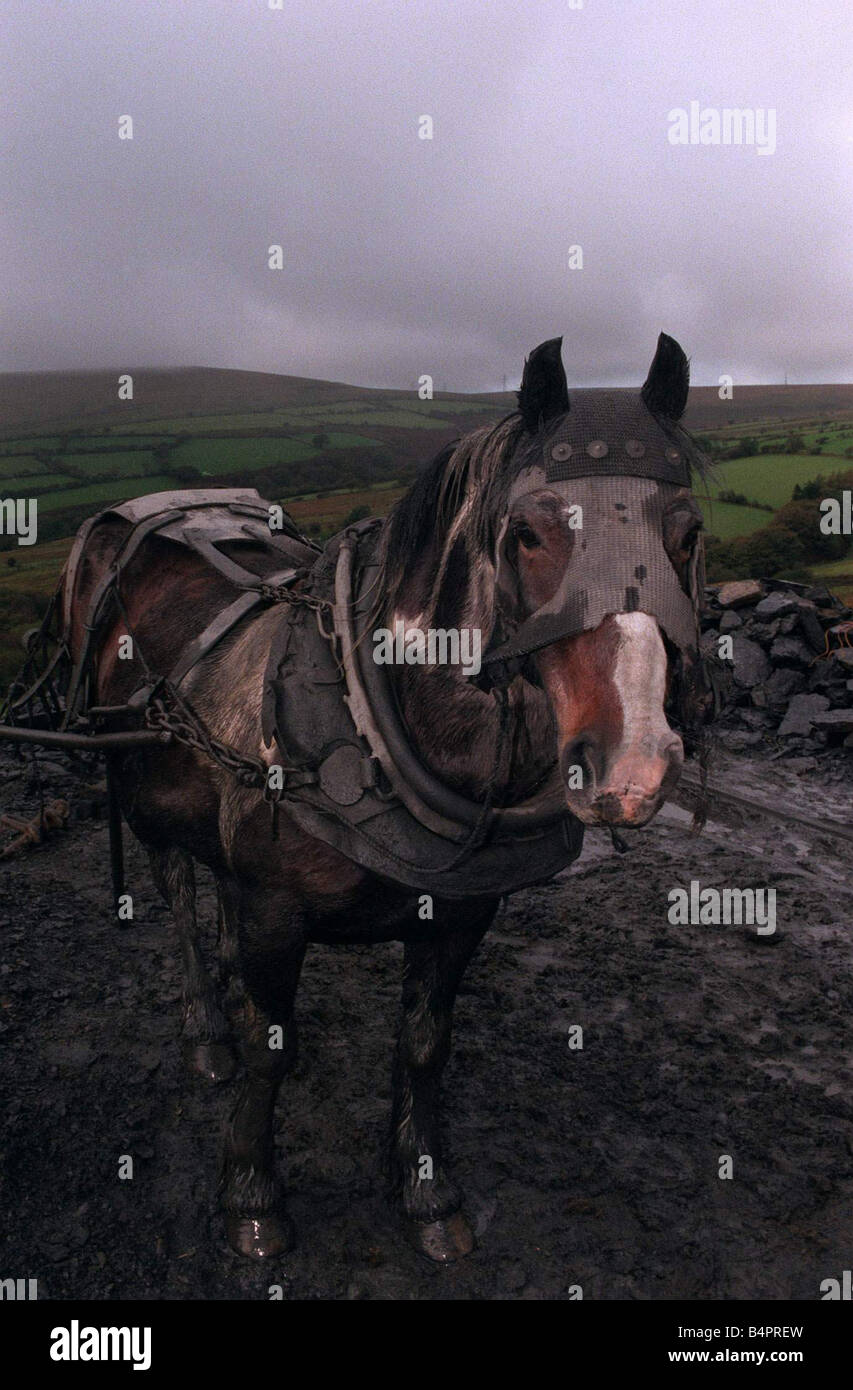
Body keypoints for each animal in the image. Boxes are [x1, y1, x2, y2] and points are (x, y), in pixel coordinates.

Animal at [59, 332, 710, 1263]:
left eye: (687, 535)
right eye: (526, 534)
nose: (633, 765)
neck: (382, 724)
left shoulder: (462, 915)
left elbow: (425, 1044)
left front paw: (426, 1189)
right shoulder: (274, 909)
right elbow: (270, 1048)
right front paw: (251, 1196)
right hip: (137, 777)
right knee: (178, 892)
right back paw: (205, 1026)